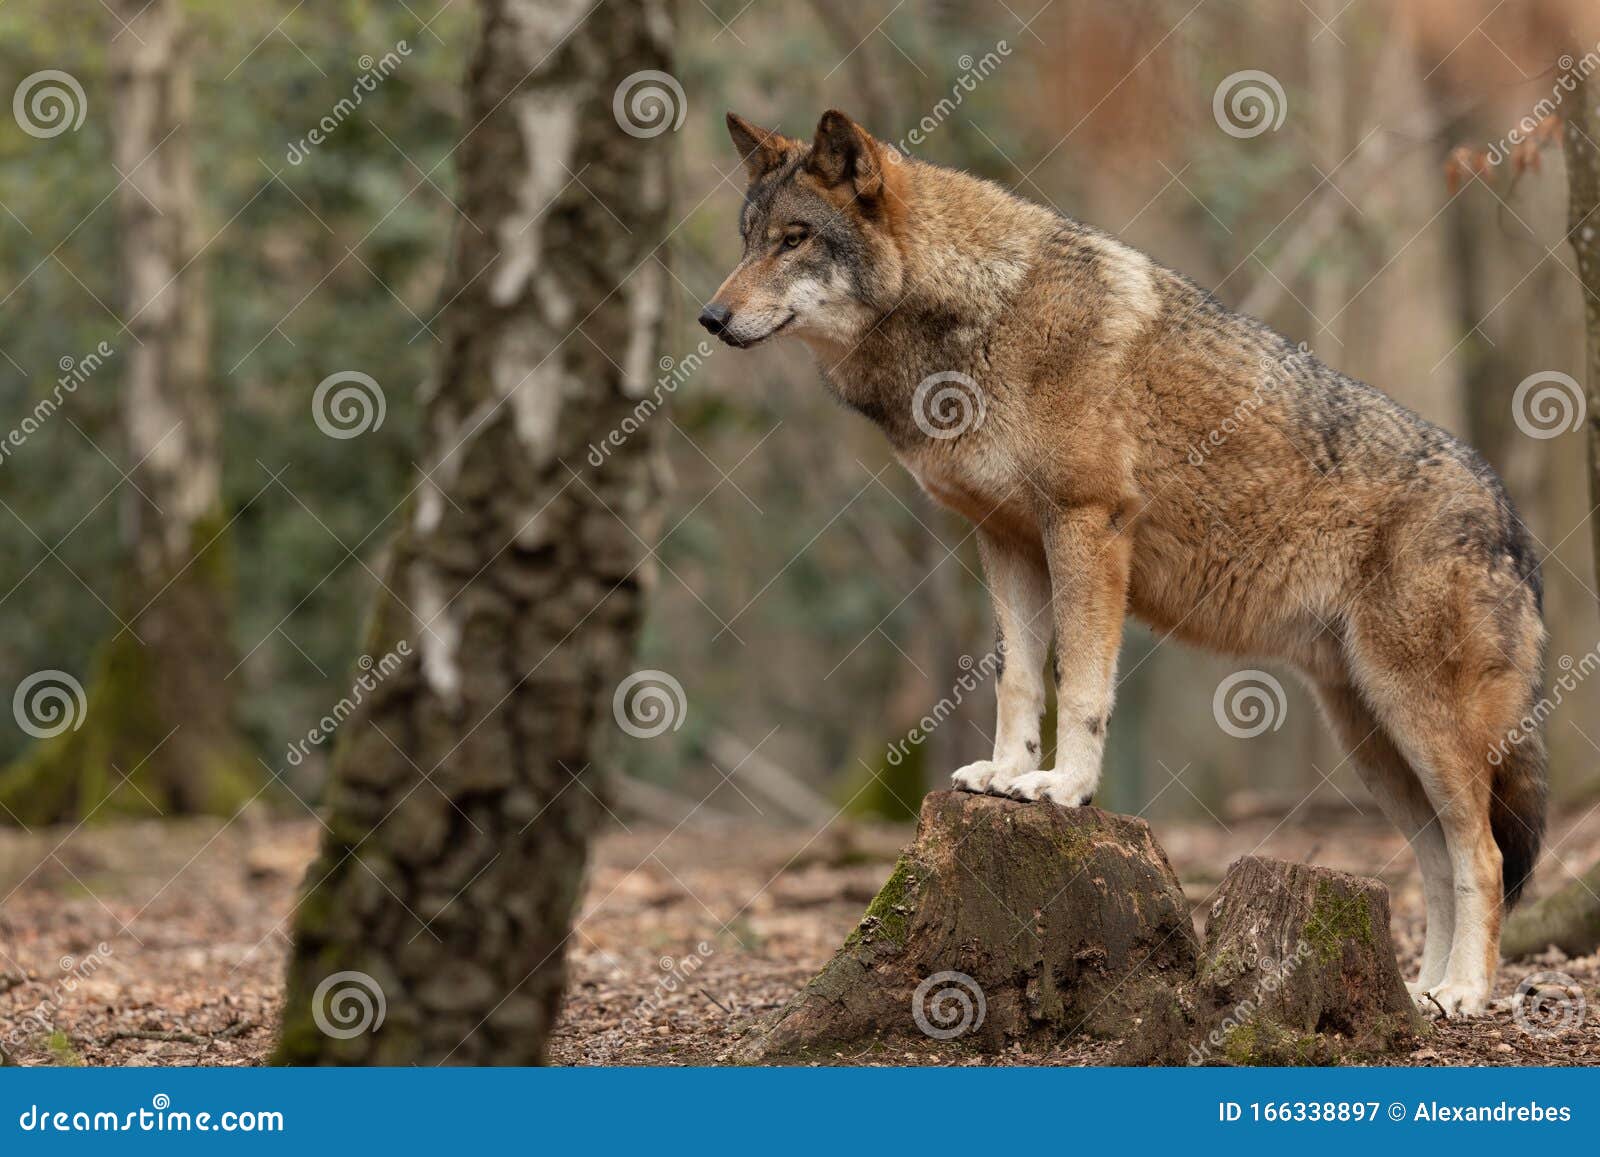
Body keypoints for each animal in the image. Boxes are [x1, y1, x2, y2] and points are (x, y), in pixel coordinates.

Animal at [700, 109, 1548, 1016]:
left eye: (794, 240)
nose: (710, 317)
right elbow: (1019, 682)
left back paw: (1465, 992)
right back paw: (1422, 993)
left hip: (1418, 723)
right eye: (746, 238)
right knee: (1436, 859)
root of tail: (1509, 518)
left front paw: (1065, 789)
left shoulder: (1086, 524)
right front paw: (1005, 774)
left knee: (1484, 855)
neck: (976, 313)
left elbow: (1080, 686)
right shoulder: (1006, 542)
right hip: (1373, 741)